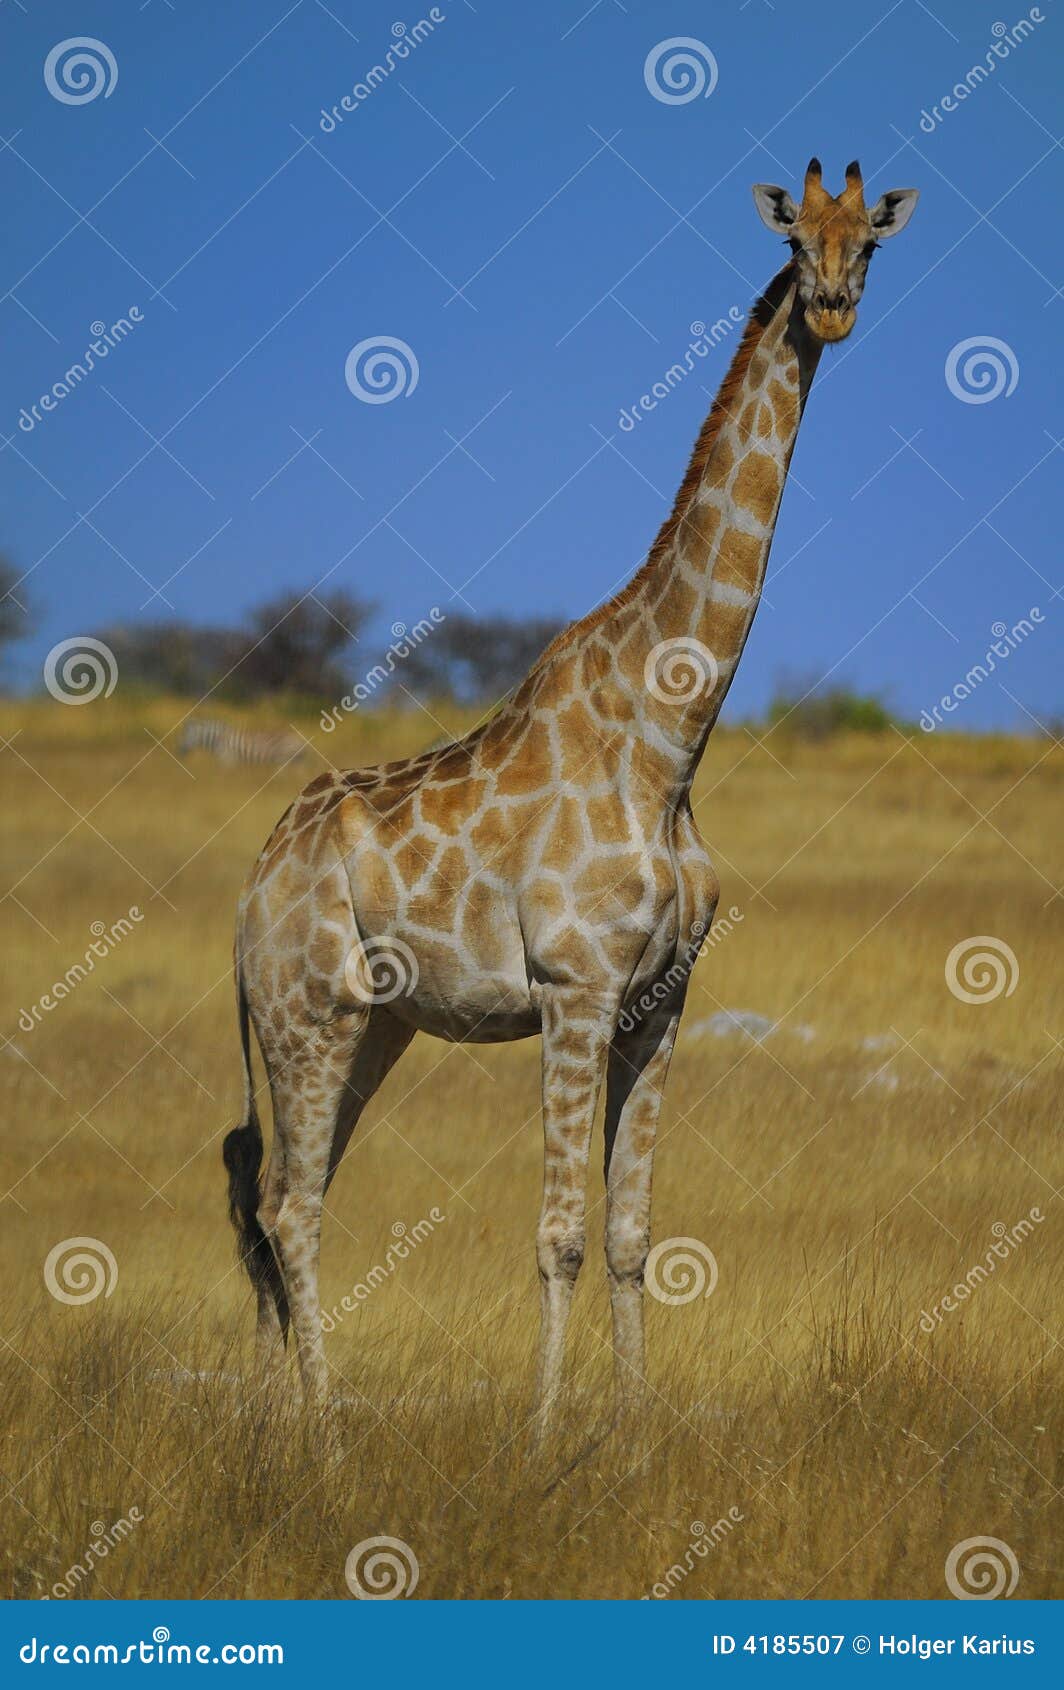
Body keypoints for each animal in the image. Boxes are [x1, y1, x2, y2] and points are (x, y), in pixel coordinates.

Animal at [224, 159, 918, 1432]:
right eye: (795, 240)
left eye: (871, 243)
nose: (834, 305)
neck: (669, 742)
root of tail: (249, 885)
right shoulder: (574, 988)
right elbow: (558, 1235)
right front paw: (545, 1434)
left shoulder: (662, 1001)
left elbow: (634, 1232)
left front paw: (632, 1432)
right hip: (305, 1012)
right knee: (286, 1203)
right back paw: (326, 1432)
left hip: (369, 1023)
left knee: (283, 1186)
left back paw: (274, 1418)